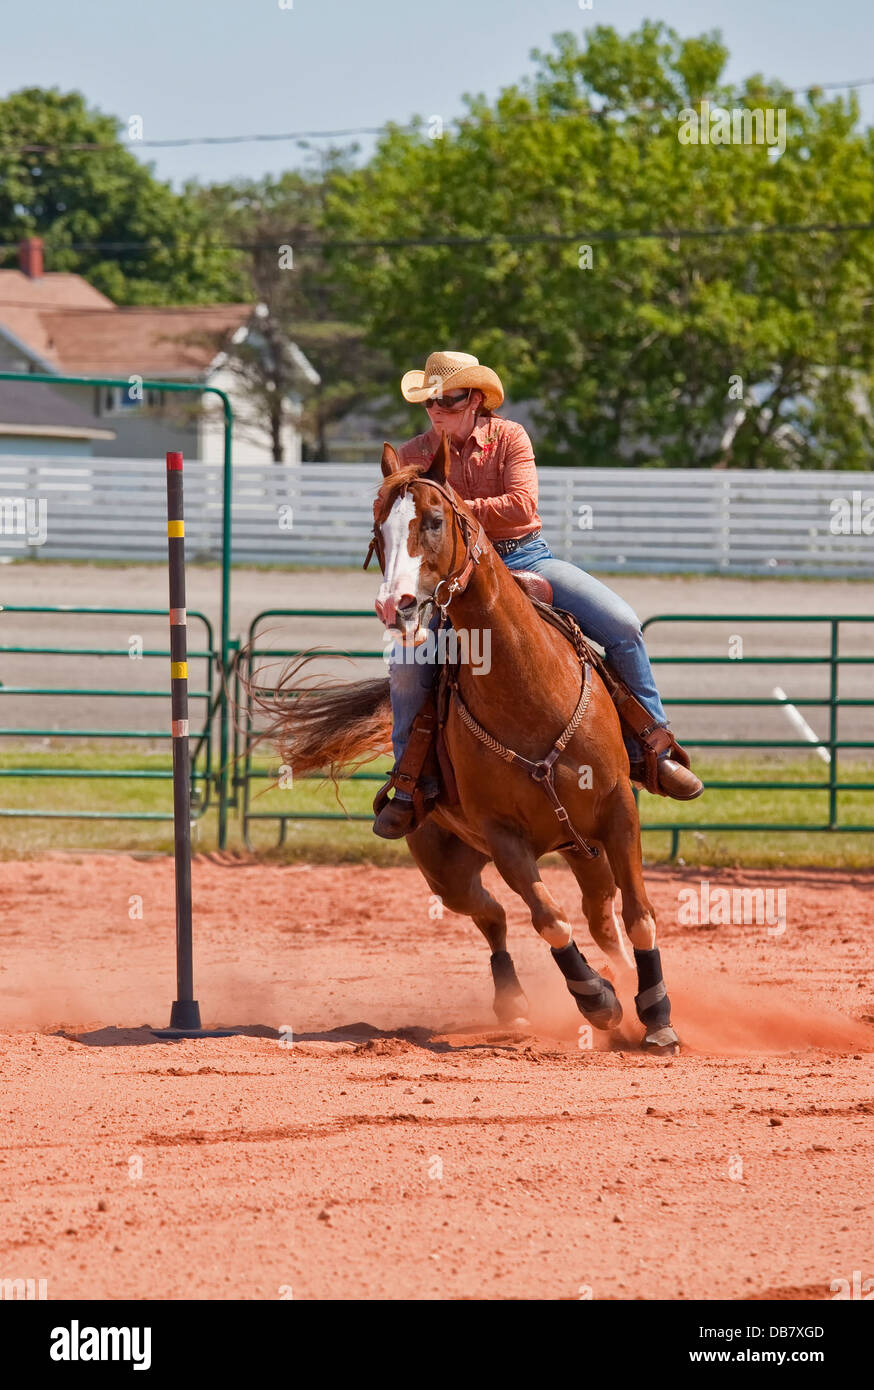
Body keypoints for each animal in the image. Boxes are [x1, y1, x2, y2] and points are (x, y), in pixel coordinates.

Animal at [264, 435, 680, 1055]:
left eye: (434, 521)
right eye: (377, 531)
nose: (395, 606)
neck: (529, 690)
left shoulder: (618, 813)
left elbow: (639, 915)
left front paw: (656, 1015)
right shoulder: (505, 839)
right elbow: (547, 917)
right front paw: (598, 1000)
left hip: (581, 846)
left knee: (600, 916)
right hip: (449, 868)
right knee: (496, 919)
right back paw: (518, 1003)